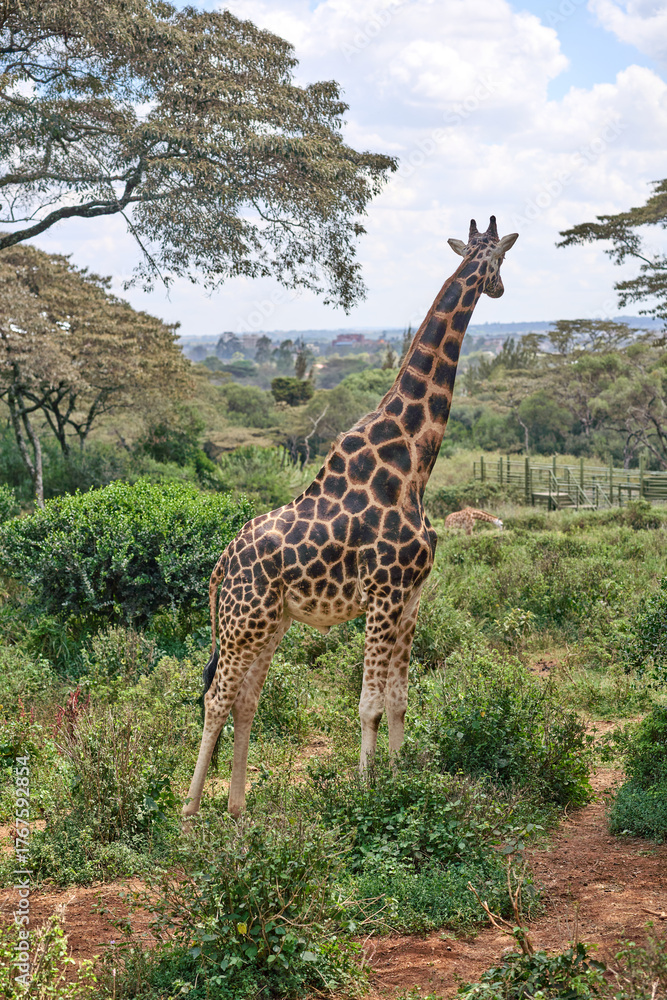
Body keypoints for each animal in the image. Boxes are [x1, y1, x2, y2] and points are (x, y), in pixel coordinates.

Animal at [183, 216, 518, 819]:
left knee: (246, 700)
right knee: (216, 697)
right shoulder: (383, 594)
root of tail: (223, 561)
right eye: (498, 260)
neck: (413, 464)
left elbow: (400, 700)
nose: (499, 289)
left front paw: (403, 780)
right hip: (244, 621)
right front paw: (366, 792)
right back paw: (192, 810)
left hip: (270, 621)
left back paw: (239, 811)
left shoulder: (411, 597)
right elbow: (369, 703)